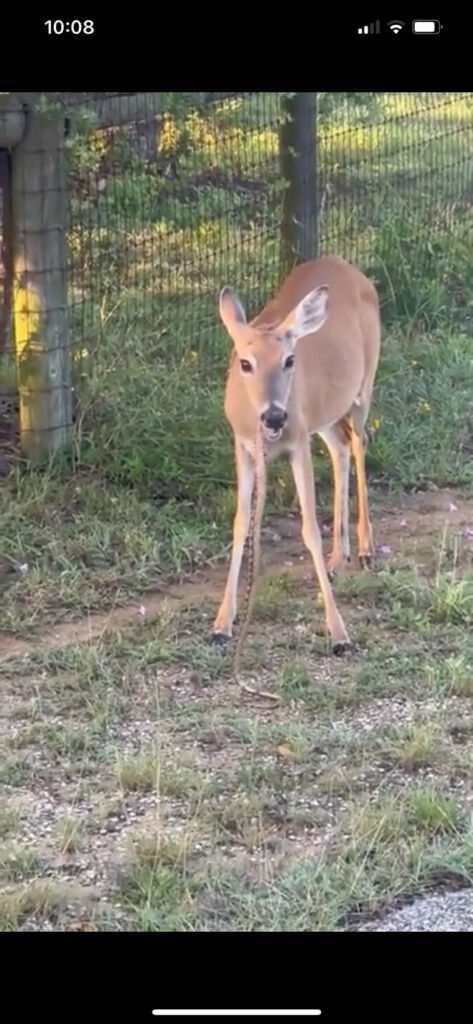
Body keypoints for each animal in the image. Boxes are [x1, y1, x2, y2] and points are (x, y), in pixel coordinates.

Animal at [211, 255, 381, 662]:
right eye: (245, 362)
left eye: (289, 359)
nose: (275, 417)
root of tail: (349, 267)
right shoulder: (244, 446)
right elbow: (241, 523)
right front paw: (223, 623)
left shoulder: (297, 443)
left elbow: (309, 530)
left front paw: (339, 634)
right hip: (324, 415)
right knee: (341, 446)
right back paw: (338, 558)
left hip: (363, 384)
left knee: (360, 442)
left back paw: (365, 549)